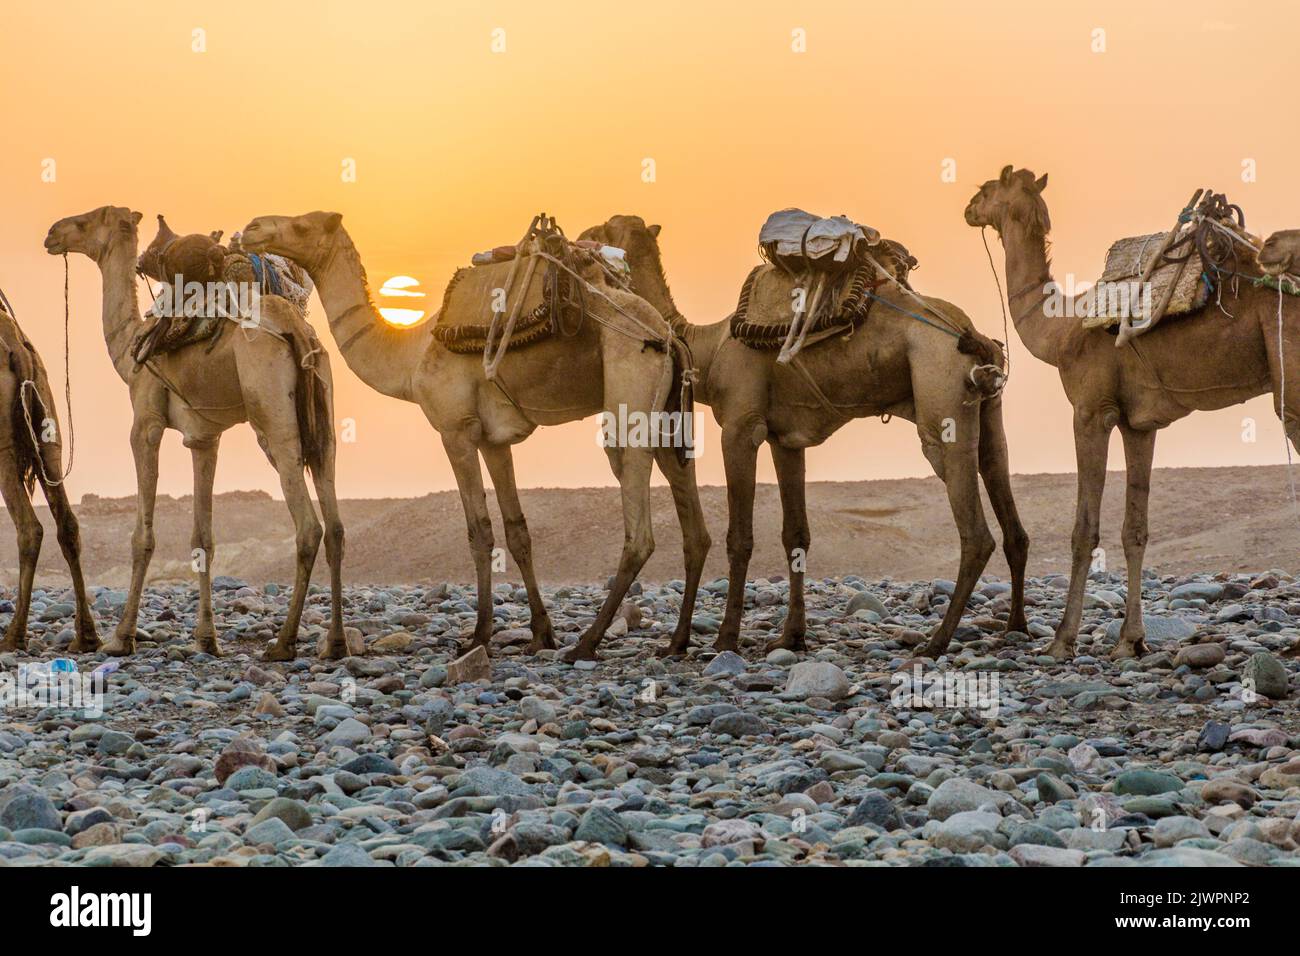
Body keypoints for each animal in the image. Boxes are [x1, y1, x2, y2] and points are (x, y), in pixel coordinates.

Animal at [0, 297, 98, 653]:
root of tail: (19, 349)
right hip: (48, 431)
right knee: (68, 524)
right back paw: (86, 637)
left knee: (30, 528)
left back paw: (12, 636)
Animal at [44, 206, 347, 661]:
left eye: (87, 220)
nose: (52, 234)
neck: (130, 345)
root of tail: (298, 330)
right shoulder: (204, 438)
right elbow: (203, 537)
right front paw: (206, 638)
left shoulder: (145, 424)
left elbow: (142, 537)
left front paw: (121, 637)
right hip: (322, 420)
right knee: (336, 524)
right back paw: (335, 643)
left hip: (272, 417)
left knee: (309, 526)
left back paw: (283, 643)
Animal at [238, 211, 710, 661]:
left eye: (302, 225)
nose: (252, 228)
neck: (410, 355)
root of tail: (668, 338)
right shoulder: (493, 440)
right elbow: (517, 531)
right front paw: (540, 634)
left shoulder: (456, 431)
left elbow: (479, 531)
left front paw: (480, 635)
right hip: (667, 417)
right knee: (694, 528)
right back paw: (677, 641)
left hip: (630, 396)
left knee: (639, 529)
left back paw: (588, 642)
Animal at [580, 216, 1030, 659]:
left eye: (602, 231)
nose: (581, 239)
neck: (710, 346)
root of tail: (974, 335)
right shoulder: (786, 440)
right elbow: (795, 534)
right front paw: (791, 637)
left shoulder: (740, 428)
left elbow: (740, 538)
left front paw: (727, 638)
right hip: (989, 413)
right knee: (1005, 496)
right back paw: (1016, 627)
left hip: (941, 399)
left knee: (975, 533)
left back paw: (937, 642)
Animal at [966, 165, 1300, 660]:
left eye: (988, 189)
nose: (968, 209)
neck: (1061, 328)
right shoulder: (1140, 425)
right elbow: (1135, 530)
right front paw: (1131, 640)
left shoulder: (1091, 411)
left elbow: (1084, 531)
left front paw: (1062, 640)